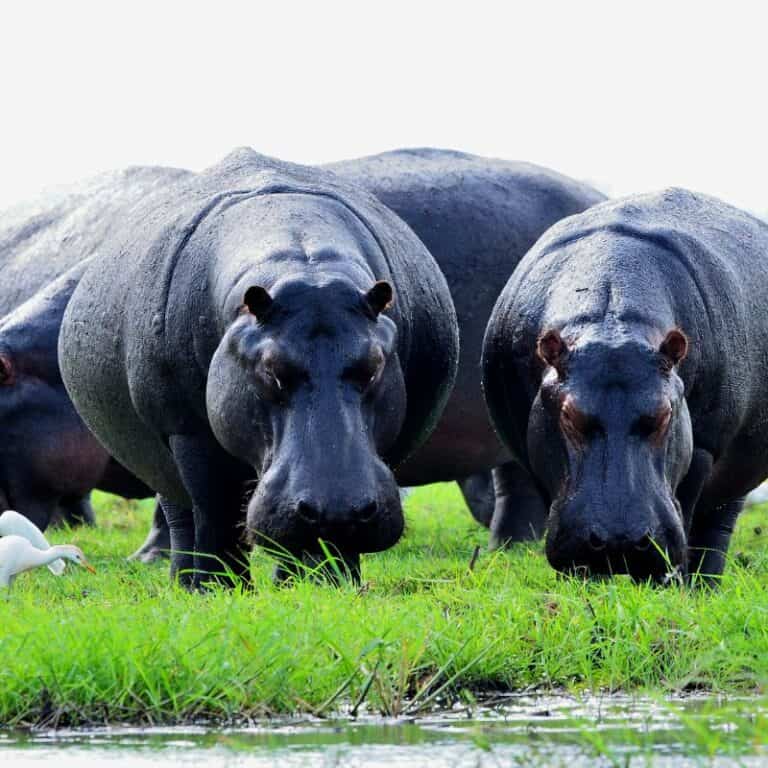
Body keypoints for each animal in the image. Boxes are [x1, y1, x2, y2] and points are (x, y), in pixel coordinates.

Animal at [60, 148, 459, 586]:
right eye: (271, 370)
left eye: (374, 365)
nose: (336, 510)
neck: (304, 265)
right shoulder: (189, 431)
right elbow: (214, 509)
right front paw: (218, 589)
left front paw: (329, 586)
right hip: (161, 452)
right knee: (183, 517)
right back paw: (185, 582)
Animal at [482, 188, 768, 581]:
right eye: (569, 415)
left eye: (665, 414)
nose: (619, 540)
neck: (612, 320)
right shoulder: (533, 447)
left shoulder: (704, 446)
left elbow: (689, 509)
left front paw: (667, 584)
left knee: (714, 529)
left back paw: (702, 585)